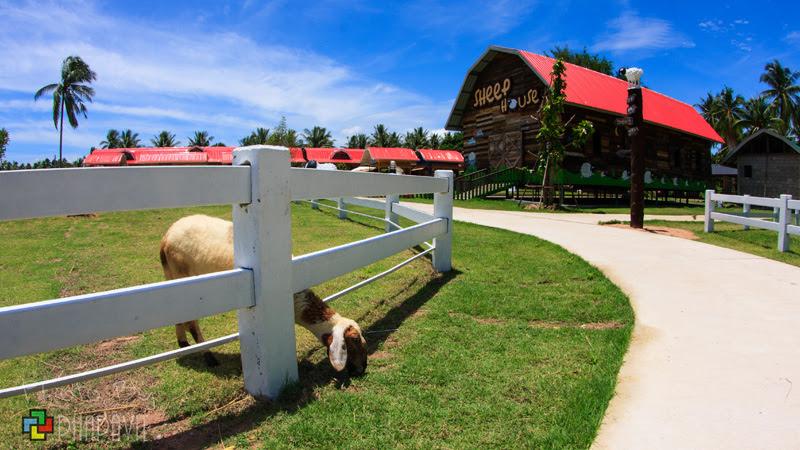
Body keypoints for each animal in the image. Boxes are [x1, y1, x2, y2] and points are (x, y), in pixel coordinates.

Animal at [159, 214, 367, 376]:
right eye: (355, 340)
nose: (362, 368)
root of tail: (166, 236)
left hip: (173, 278)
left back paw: (183, 344)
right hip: (184, 276)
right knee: (192, 322)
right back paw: (208, 356)